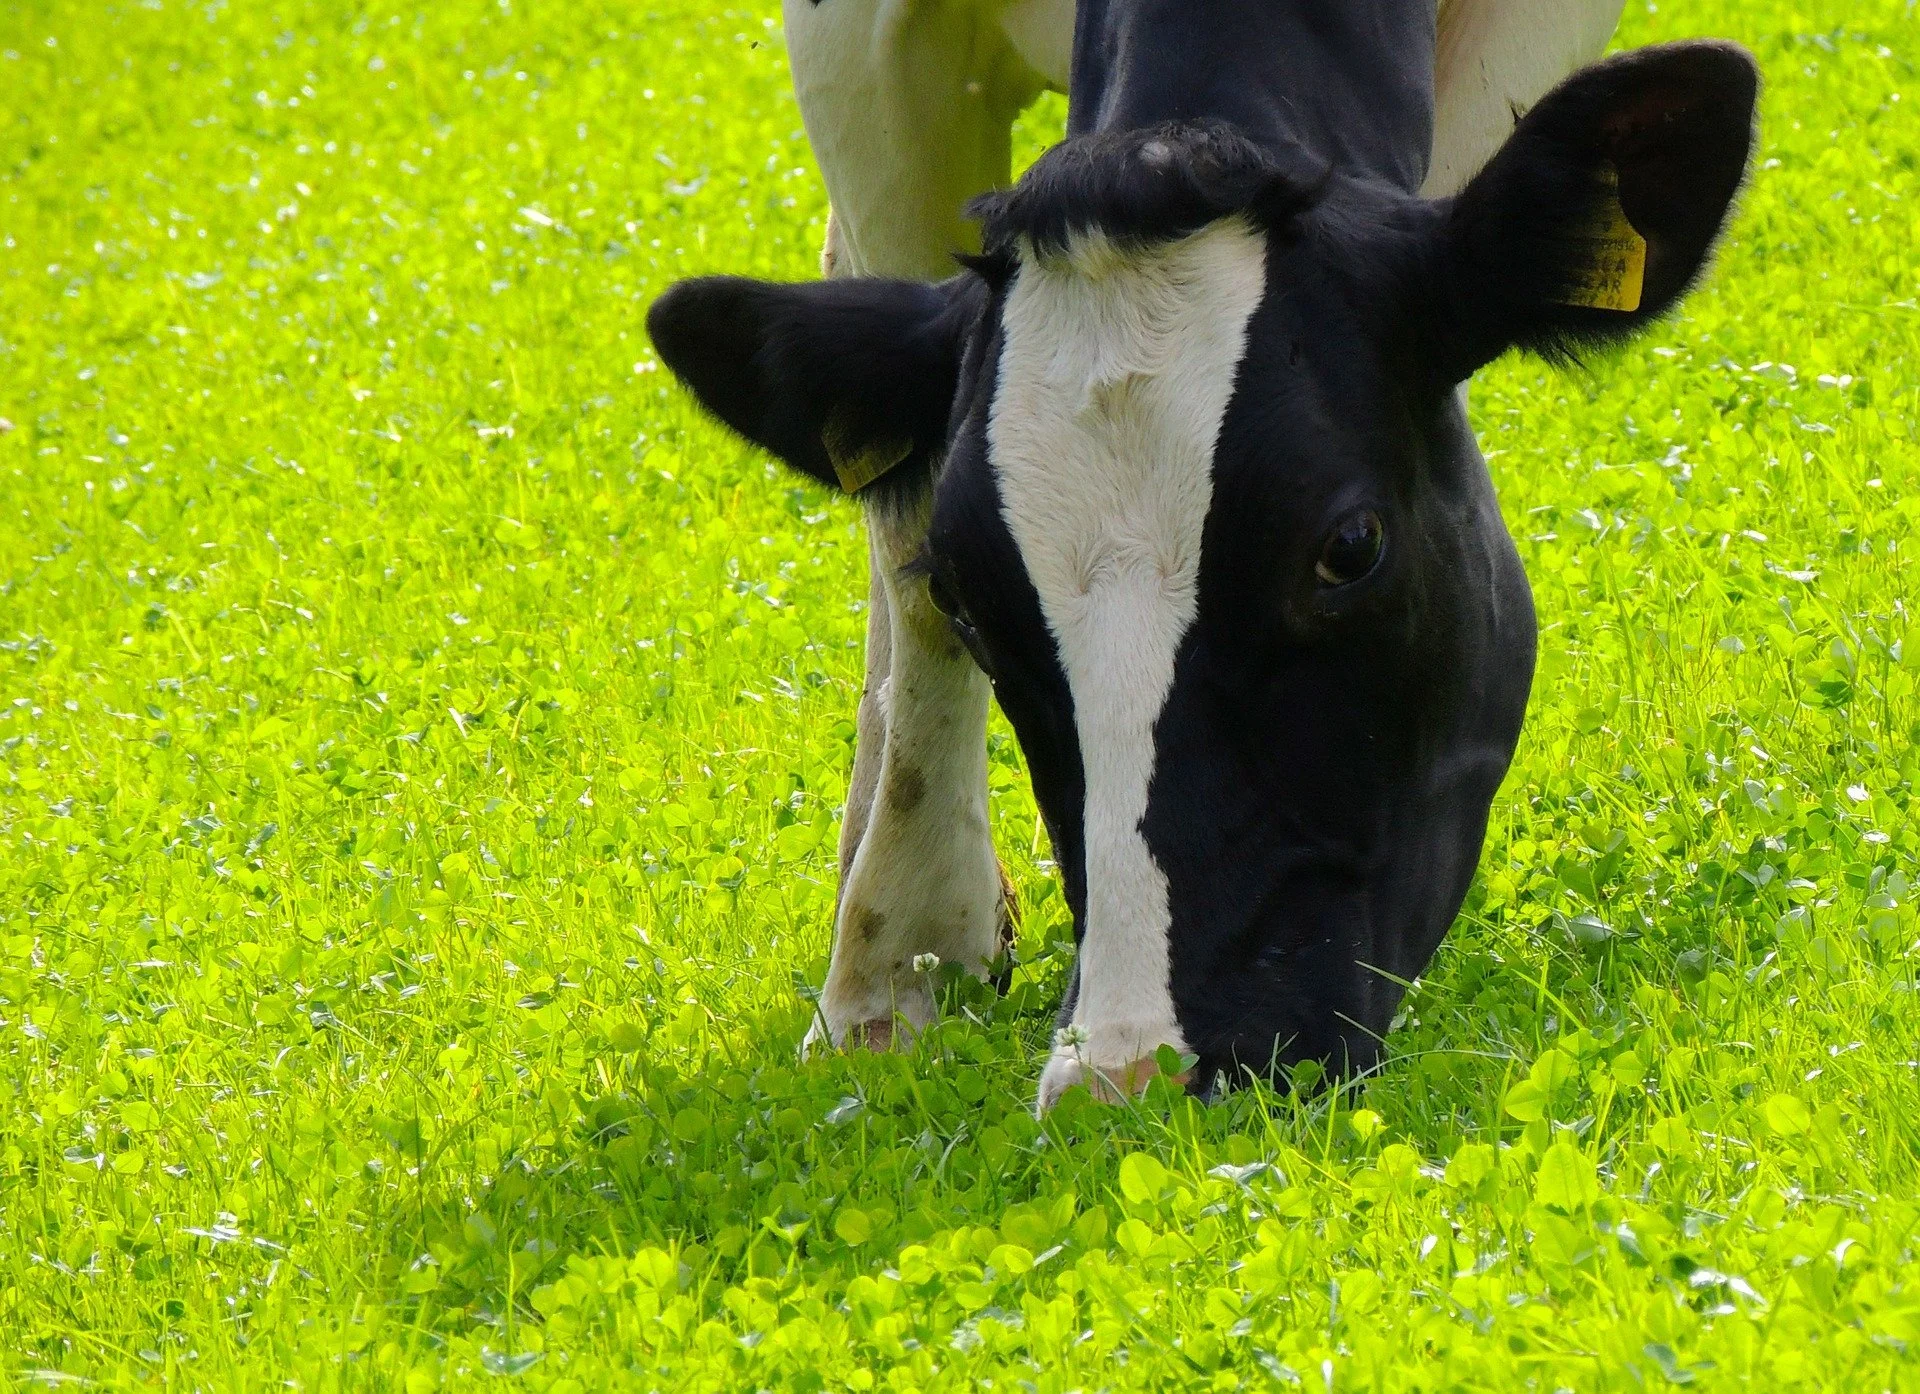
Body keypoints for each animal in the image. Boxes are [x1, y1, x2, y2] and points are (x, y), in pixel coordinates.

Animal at [646, 0, 1757, 1108]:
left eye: (1350, 548)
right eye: (970, 598)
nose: (1129, 1073)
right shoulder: (851, 40)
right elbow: (905, 542)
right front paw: (894, 965)